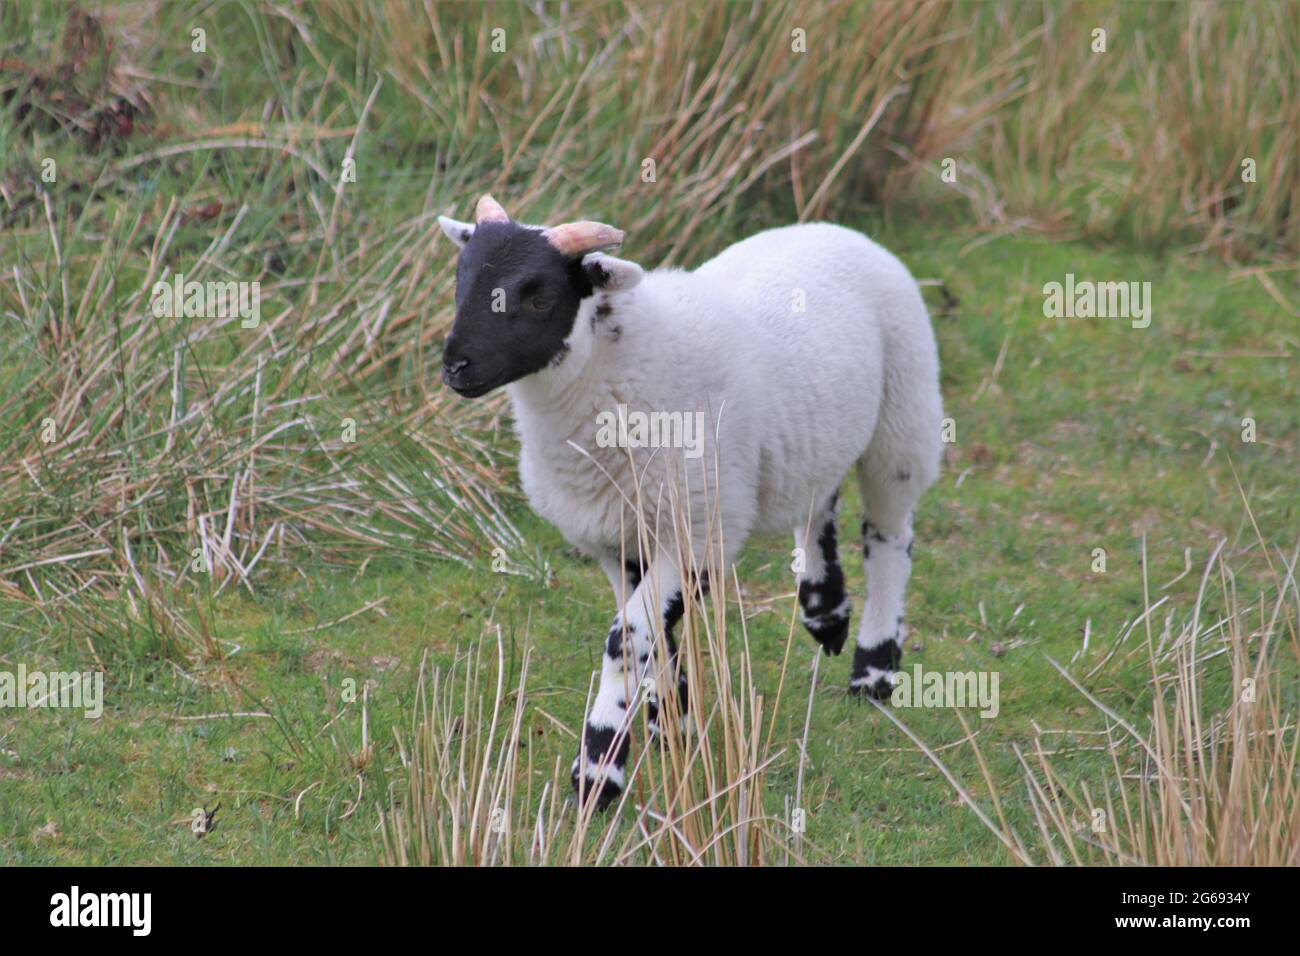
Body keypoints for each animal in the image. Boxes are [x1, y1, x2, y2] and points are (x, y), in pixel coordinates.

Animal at [438, 194, 943, 808]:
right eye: (461, 280)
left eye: (538, 294)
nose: (454, 366)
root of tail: (833, 228)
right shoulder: (620, 540)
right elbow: (653, 637)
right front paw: (671, 722)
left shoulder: (699, 532)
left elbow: (627, 638)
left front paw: (599, 770)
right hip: (816, 432)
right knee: (818, 500)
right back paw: (825, 613)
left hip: (903, 417)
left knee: (889, 536)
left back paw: (874, 667)